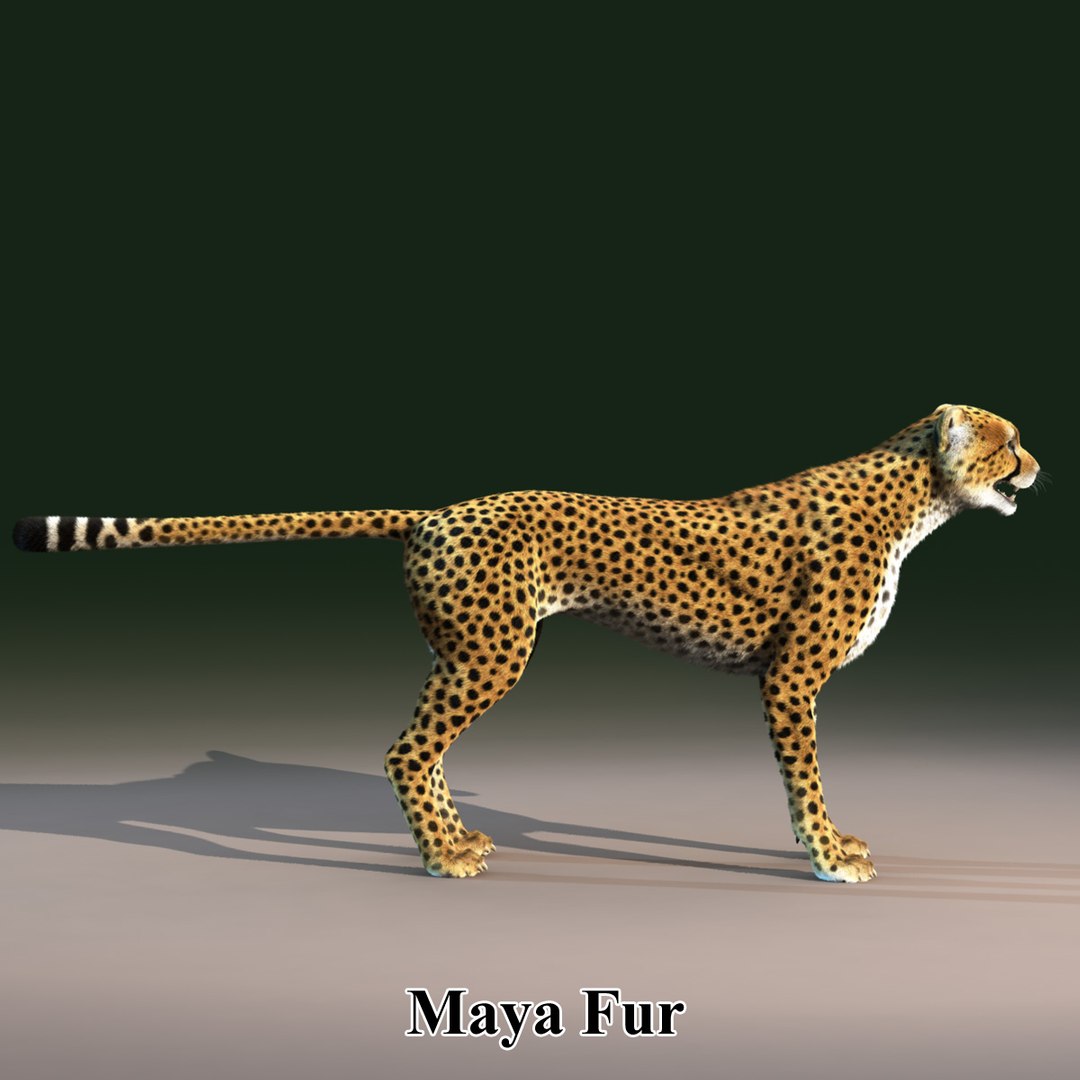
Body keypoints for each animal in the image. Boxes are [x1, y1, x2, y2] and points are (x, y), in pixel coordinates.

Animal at [13, 404, 1041, 883]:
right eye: (1008, 440)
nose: (1039, 464)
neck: (917, 493)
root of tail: (440, 508)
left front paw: (834, 845)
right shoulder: (790, 682)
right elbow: (806, 782)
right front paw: (829, 855)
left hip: (464, 655)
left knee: (420, 754)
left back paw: (459, 835)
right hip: (490, 656)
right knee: (405, 750)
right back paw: (443, 858)